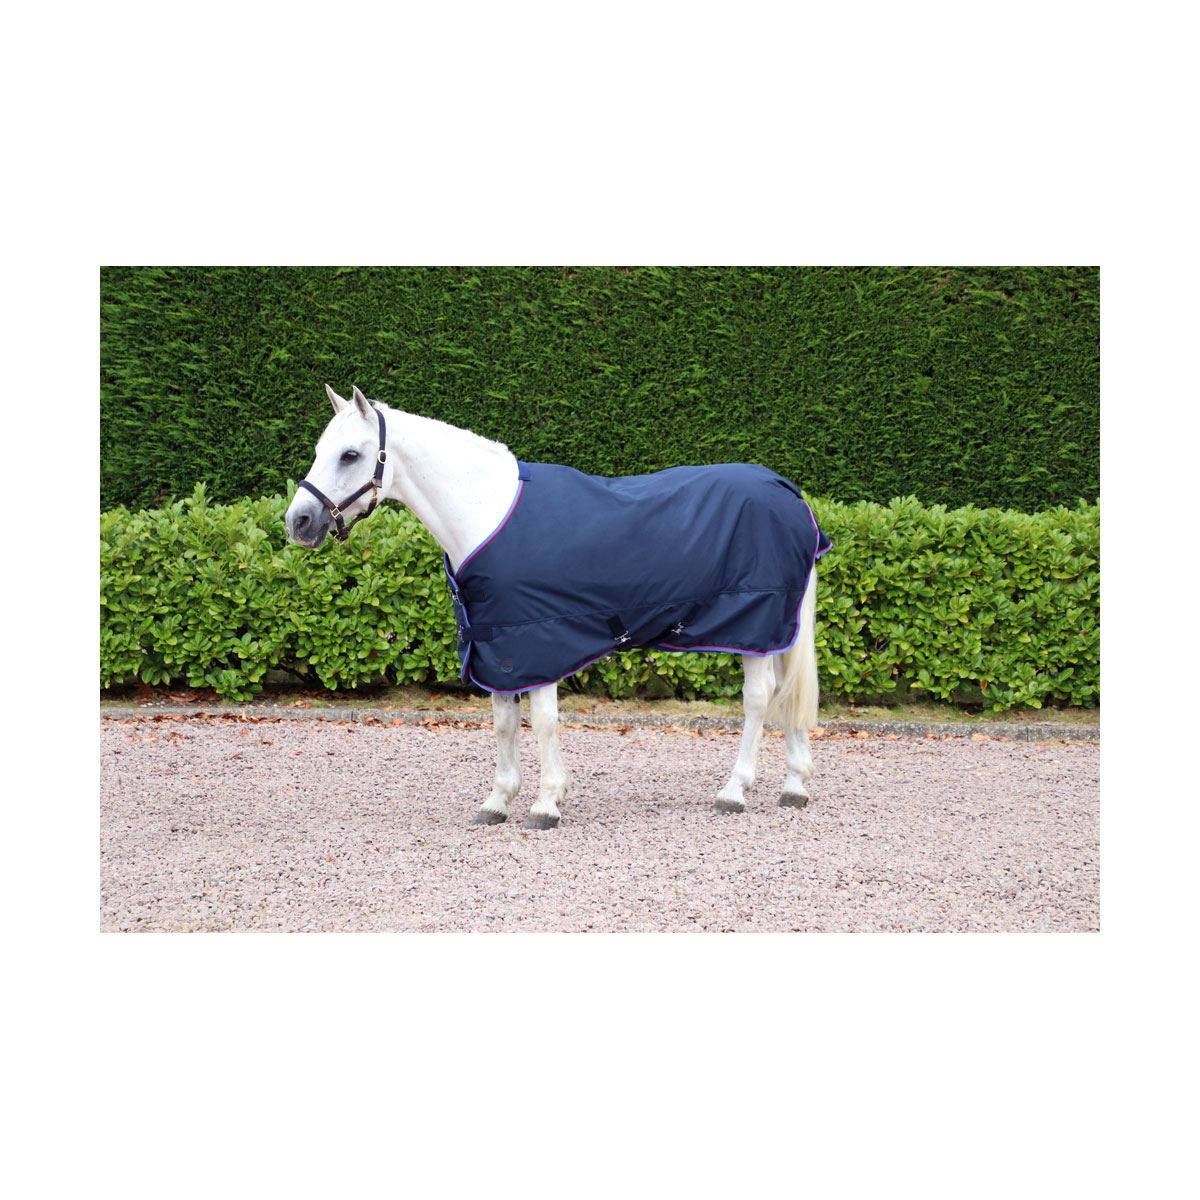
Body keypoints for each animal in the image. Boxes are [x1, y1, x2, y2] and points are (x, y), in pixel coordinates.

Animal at [285, 385, 828, 830]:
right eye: (319, 451)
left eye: (350, 454)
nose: (299, 521)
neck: (486, 511)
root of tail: (789, 494)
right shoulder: (496, 644)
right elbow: (503, 721)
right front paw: (498, 802)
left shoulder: (537, 641)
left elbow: (544, 720)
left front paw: (547, 803)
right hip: (780, 627)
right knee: (788, 696)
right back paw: (794, 787)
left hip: (756, 628)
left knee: (759, 699)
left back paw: (735, 791)